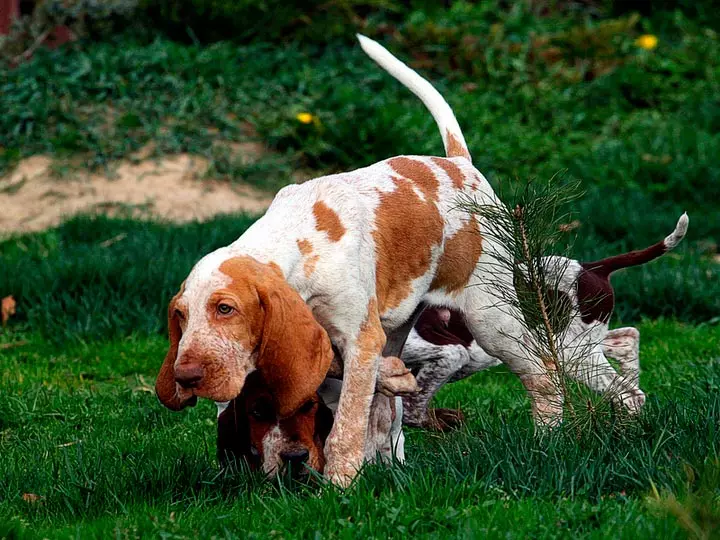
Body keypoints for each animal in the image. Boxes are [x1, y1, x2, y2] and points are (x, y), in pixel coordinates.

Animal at [153, 35, 676, 488]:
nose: (186, 377)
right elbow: (358, 389)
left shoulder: (359, 336)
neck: (299, 246)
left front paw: (339, 485)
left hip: (495, 320)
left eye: (226, 309)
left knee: (545, 377)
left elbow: (345, 423)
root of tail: (460, 165)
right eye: (180, 316)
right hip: (406, 323)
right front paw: (388, 393)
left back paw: (550, 443)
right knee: (388, 415)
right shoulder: (356, 341)